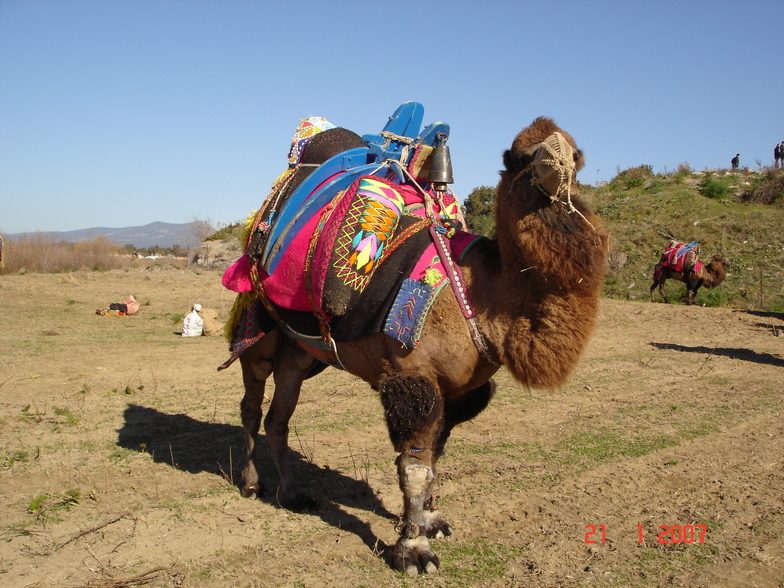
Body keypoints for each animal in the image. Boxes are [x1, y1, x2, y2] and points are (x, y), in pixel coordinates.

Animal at [230, 115, 608, 576]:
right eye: (520, 156)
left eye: (577, 154)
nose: (557, 159)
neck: (482, 296)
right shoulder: (413, 378)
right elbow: (414, 468)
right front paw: (413, 551)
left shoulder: (460, 390)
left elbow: (436, 456)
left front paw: (432, 520)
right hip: (258, 332)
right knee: (251, 404)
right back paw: (252, 484)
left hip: (301, 356)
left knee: (278, 417)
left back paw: (294, 496)